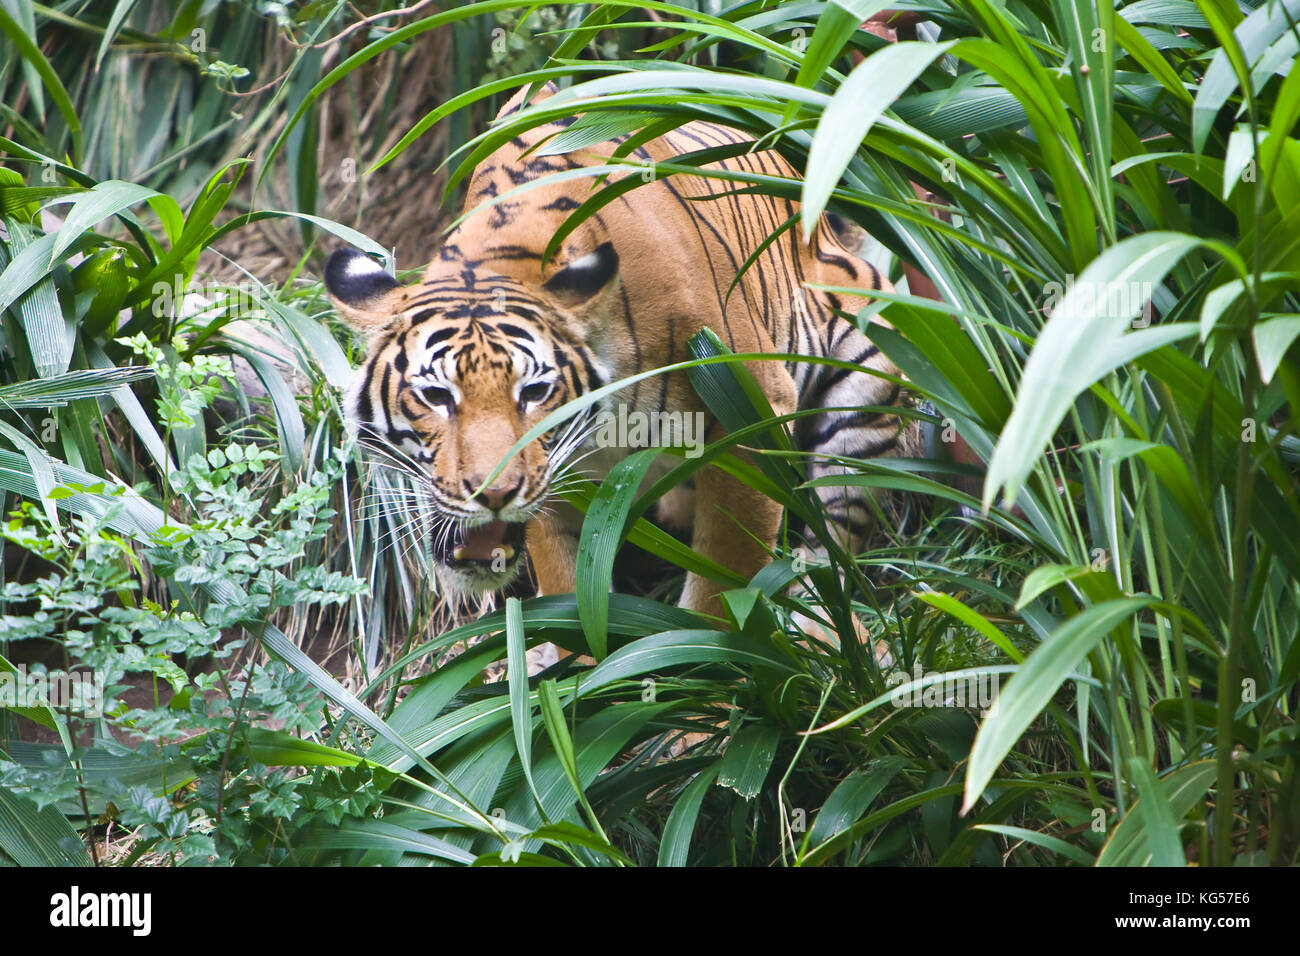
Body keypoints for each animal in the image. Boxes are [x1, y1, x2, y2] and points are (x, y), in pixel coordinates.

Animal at [325, 81, 920, 625]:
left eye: (533, 393)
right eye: (436, 396)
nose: (495, 494)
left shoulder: (748, 417)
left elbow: (723, 580)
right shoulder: (558, 475)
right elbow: (567, 583)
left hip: (865, 388)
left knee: (834, 547)